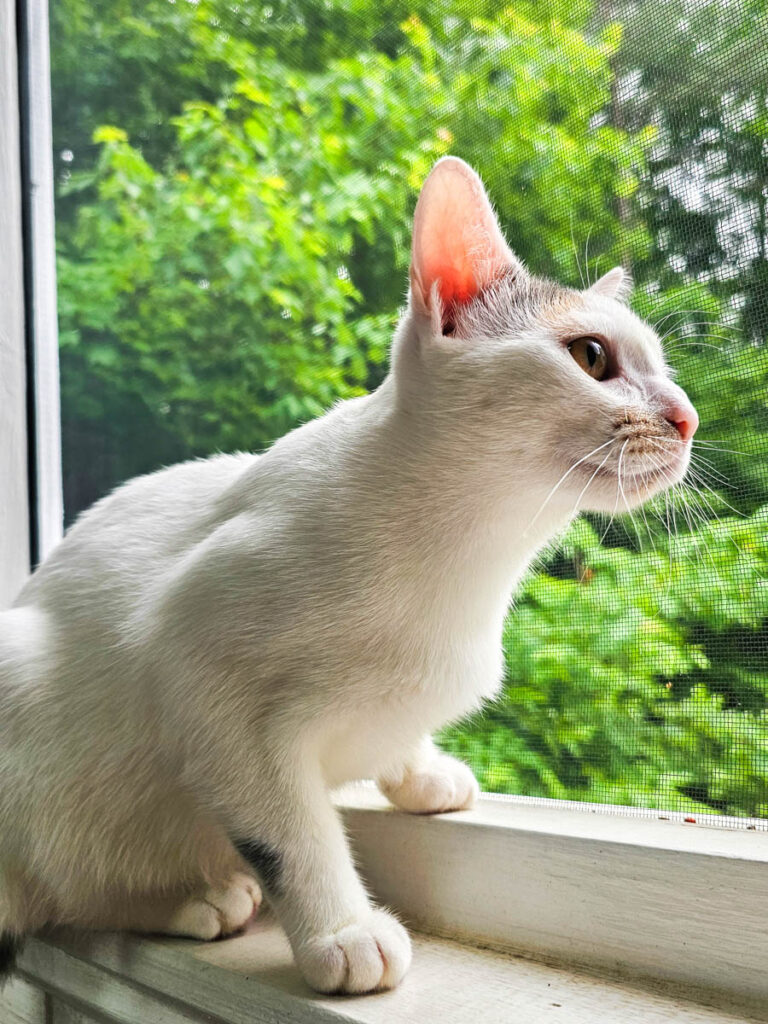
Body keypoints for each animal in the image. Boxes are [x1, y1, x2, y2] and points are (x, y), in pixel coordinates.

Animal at [0, 157, 696, 991]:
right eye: (592, 356)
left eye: (666, 370)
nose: (688, 417)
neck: (471, 563)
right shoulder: (204, 678)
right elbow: (292, 831)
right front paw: (342, 929)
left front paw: (423, 774)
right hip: (21, 676)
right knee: (62, 883)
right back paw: (192, 900)